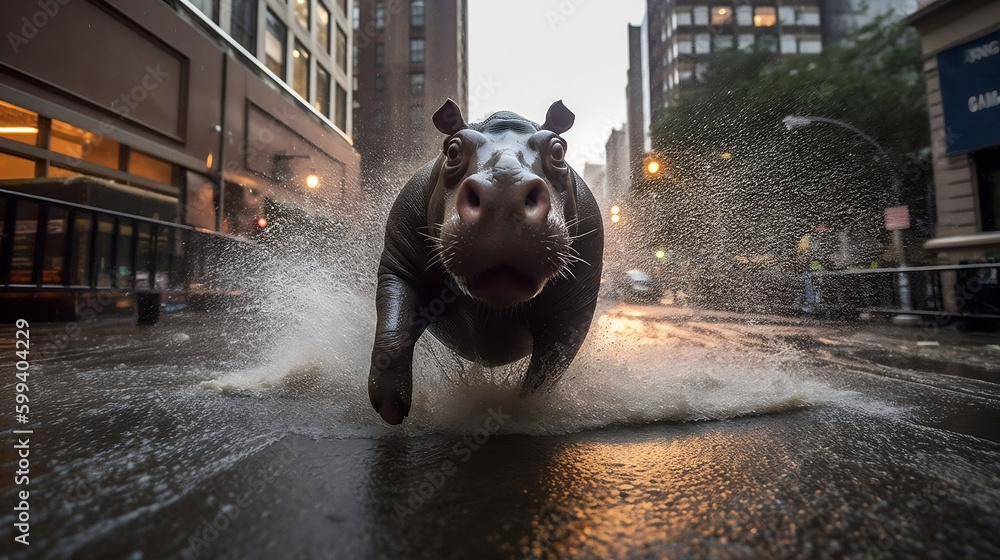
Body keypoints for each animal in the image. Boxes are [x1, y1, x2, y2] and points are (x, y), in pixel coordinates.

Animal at [368, 99, 604, 425]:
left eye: (558, 150)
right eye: (453, 149)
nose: (504, 187)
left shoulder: (575, 305)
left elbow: (547, 369)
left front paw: (519, 411)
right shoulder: (400, 264)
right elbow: (393, 327)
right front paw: (391, 409)